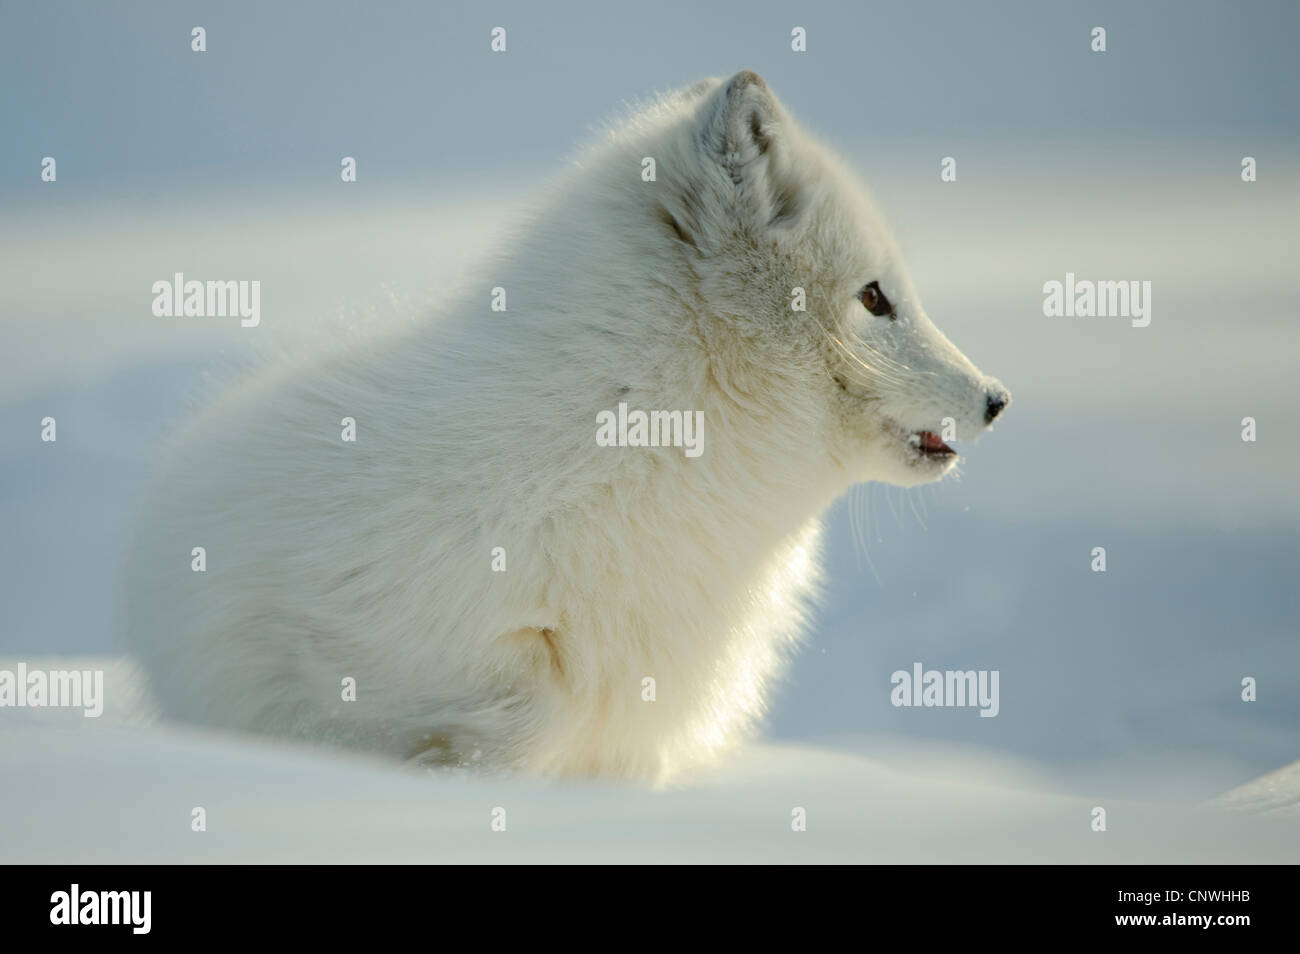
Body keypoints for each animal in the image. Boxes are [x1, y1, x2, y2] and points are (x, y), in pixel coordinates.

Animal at [125, 71, 1010, 783]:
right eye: (874, 298)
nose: (997, 399)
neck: (644, 441)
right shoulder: (323, 628)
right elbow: (537, 700)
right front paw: (456, 766)